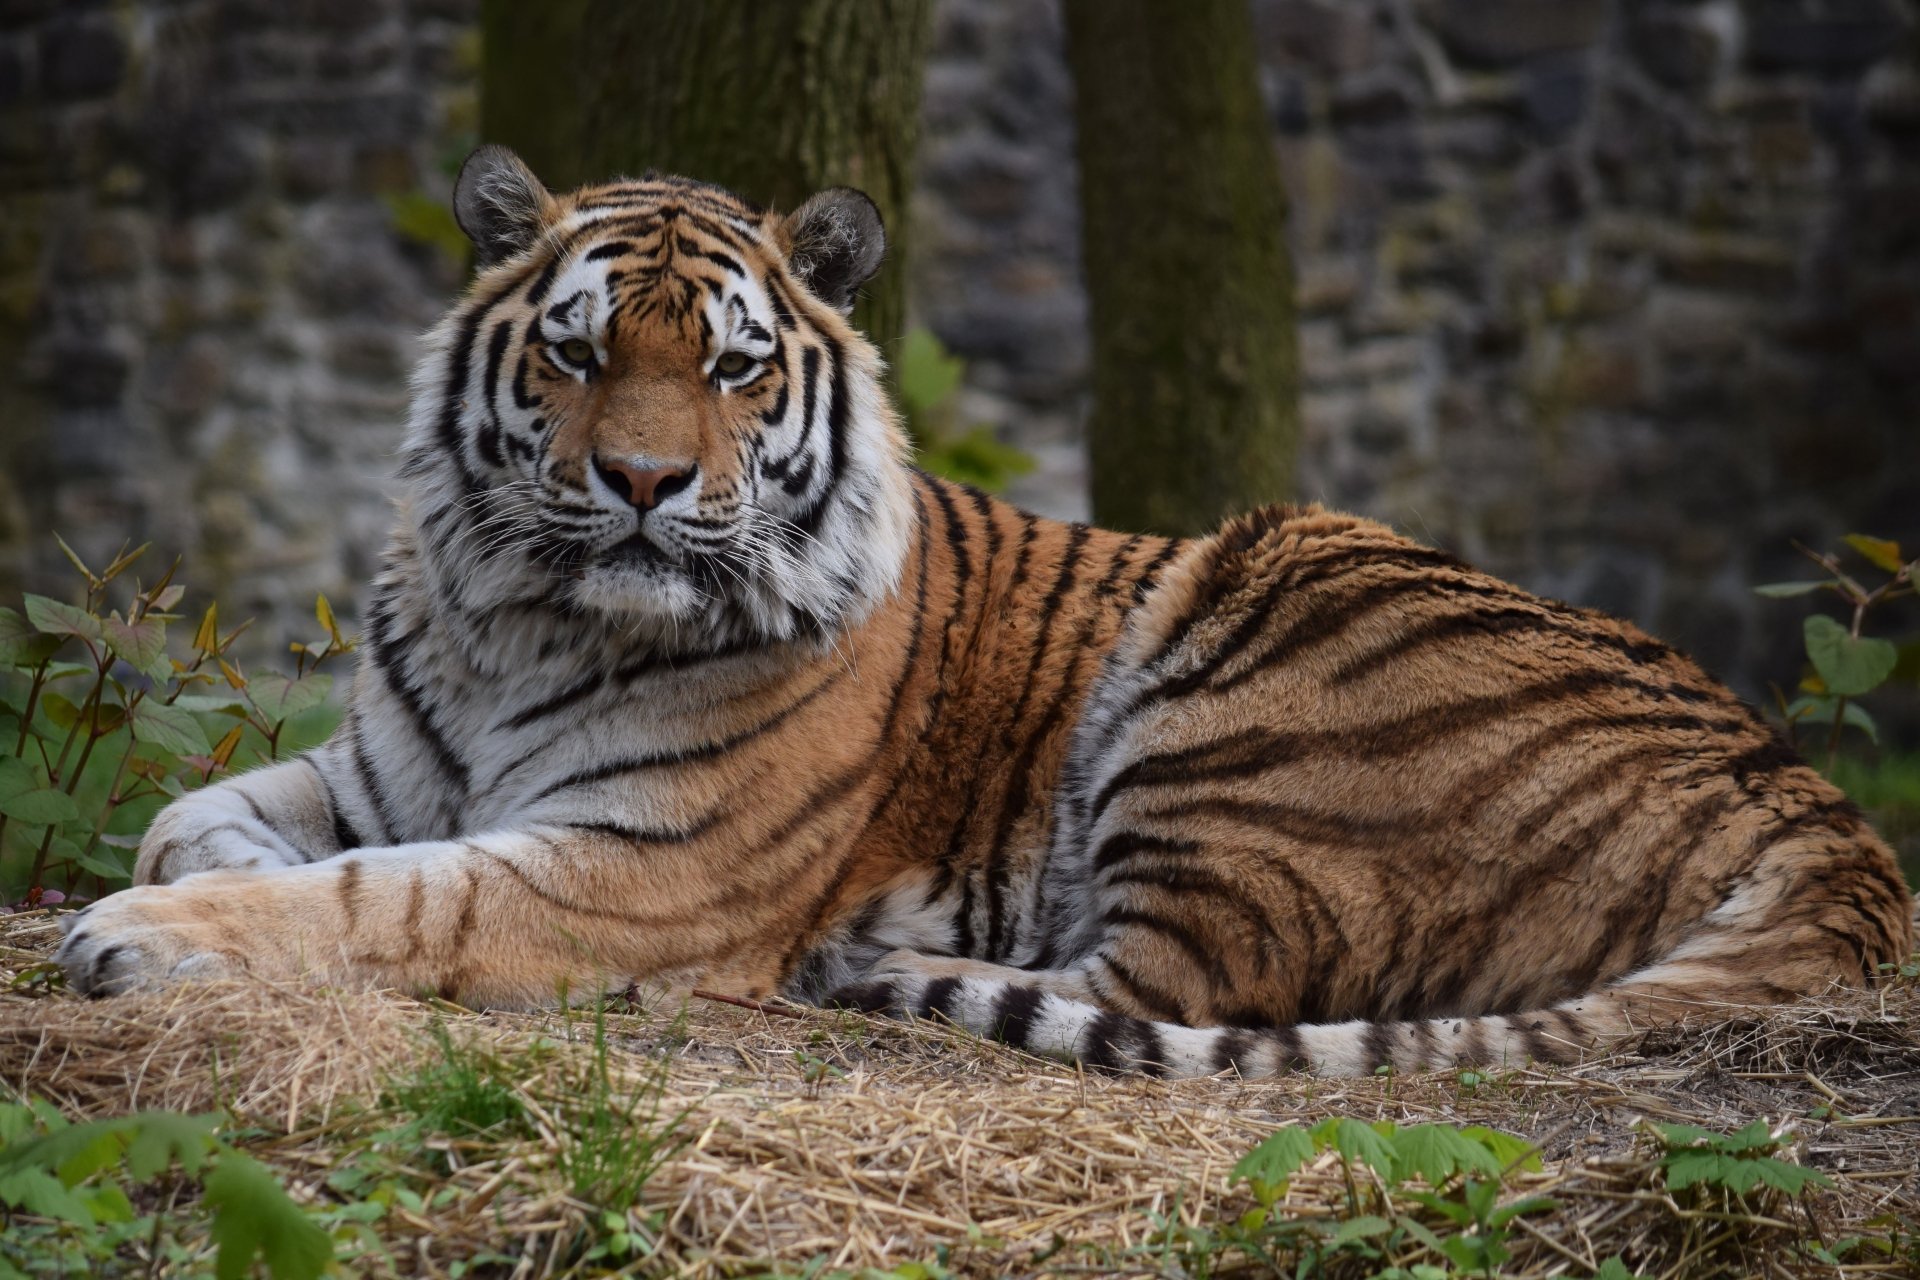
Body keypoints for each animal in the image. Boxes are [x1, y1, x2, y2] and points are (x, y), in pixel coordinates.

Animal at [54, 145, 1912, 1077]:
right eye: (579, 354)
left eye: (731, 370)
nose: (644, 482)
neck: (531, 615)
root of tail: (1825, 814)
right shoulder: (382, 770)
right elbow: (192, 815)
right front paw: (189, 878)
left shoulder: (641, 871)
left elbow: (390, 899)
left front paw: (137, 941)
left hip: (1265, 641)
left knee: (1177, 989)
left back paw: (880, 966)